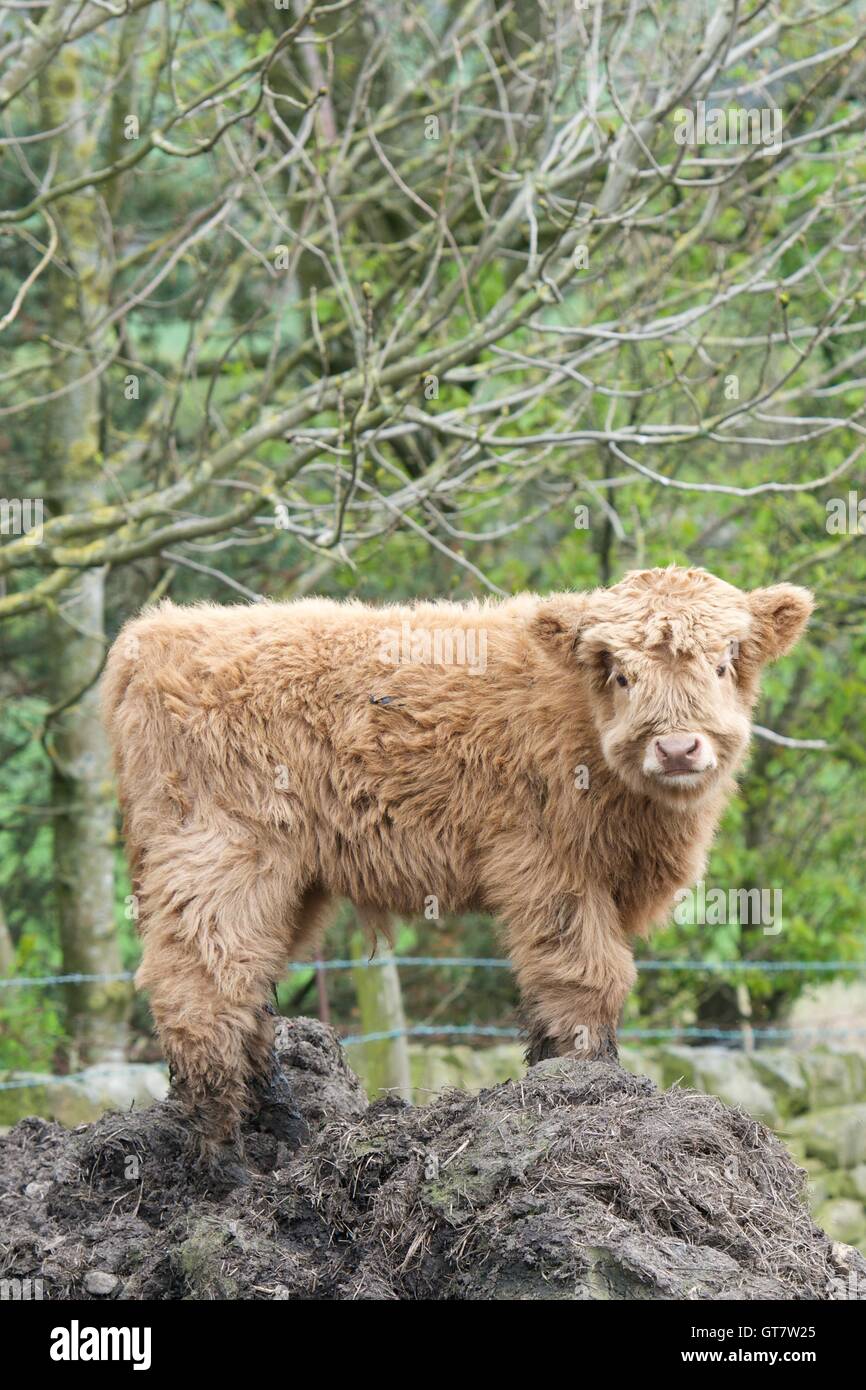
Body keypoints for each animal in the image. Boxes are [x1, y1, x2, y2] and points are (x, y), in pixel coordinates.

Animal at [101, 566, 813, 1179]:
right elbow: (585, 979)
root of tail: (152, 634)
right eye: (618, 673)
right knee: (201, 981)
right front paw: (590, 1089)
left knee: (249, 981)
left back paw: (286, 1128)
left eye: (724, 661)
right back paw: (226, 1160)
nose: (677, 747)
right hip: (221, 851)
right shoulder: (548, 868)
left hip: (289, 880)